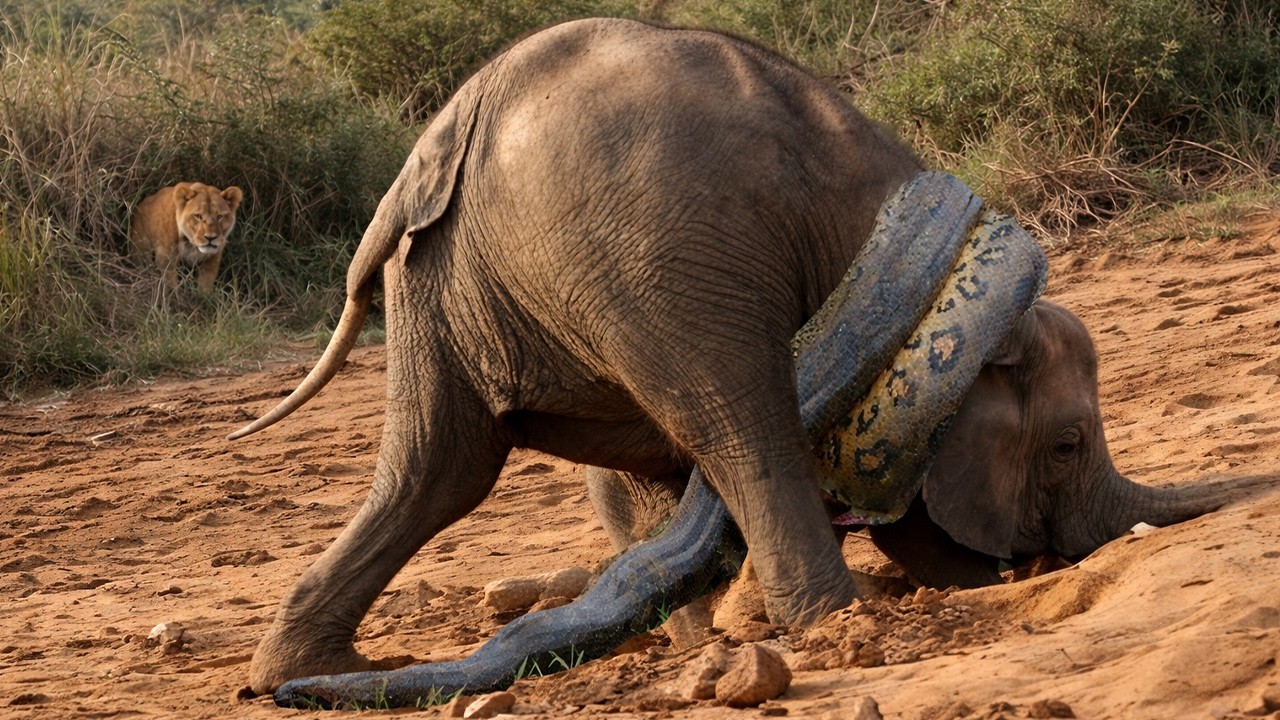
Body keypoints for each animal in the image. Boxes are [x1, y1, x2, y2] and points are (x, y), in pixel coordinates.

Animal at [228, 18, 1243, 699]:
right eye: (1066, 447)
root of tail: (438, 146)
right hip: (646, 260)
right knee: (735, 422)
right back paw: (832, 620)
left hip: (456, 283)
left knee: (442, 470)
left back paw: (305, 673)